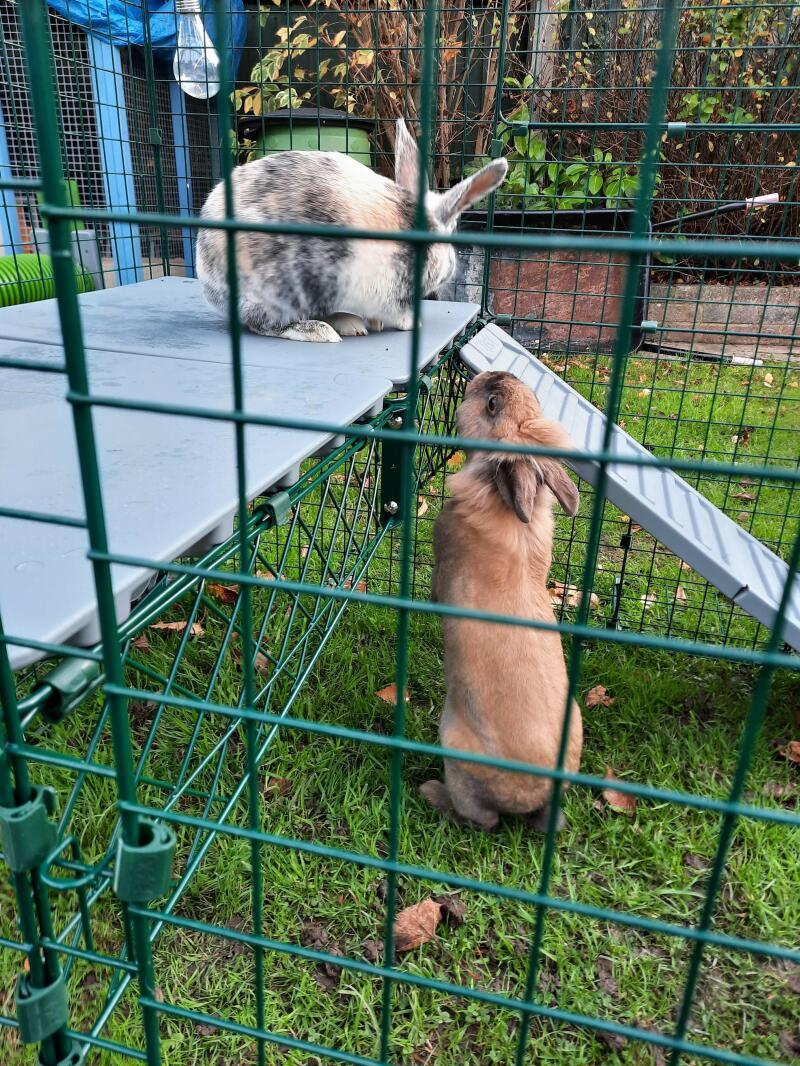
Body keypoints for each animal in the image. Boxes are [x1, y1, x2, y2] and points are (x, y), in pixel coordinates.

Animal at [196, 119, 507, 343]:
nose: (451, 269)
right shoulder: (392, 293)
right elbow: (399, 312)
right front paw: (410, 323)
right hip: (281, 291)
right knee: (263, 324)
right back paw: (322, 332)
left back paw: (348, 323)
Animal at [420, 371, 584, 832]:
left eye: (492, 405)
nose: (500, 374)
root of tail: (533, 793)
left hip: (455, 751)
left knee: (483, 820)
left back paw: (430, 793)